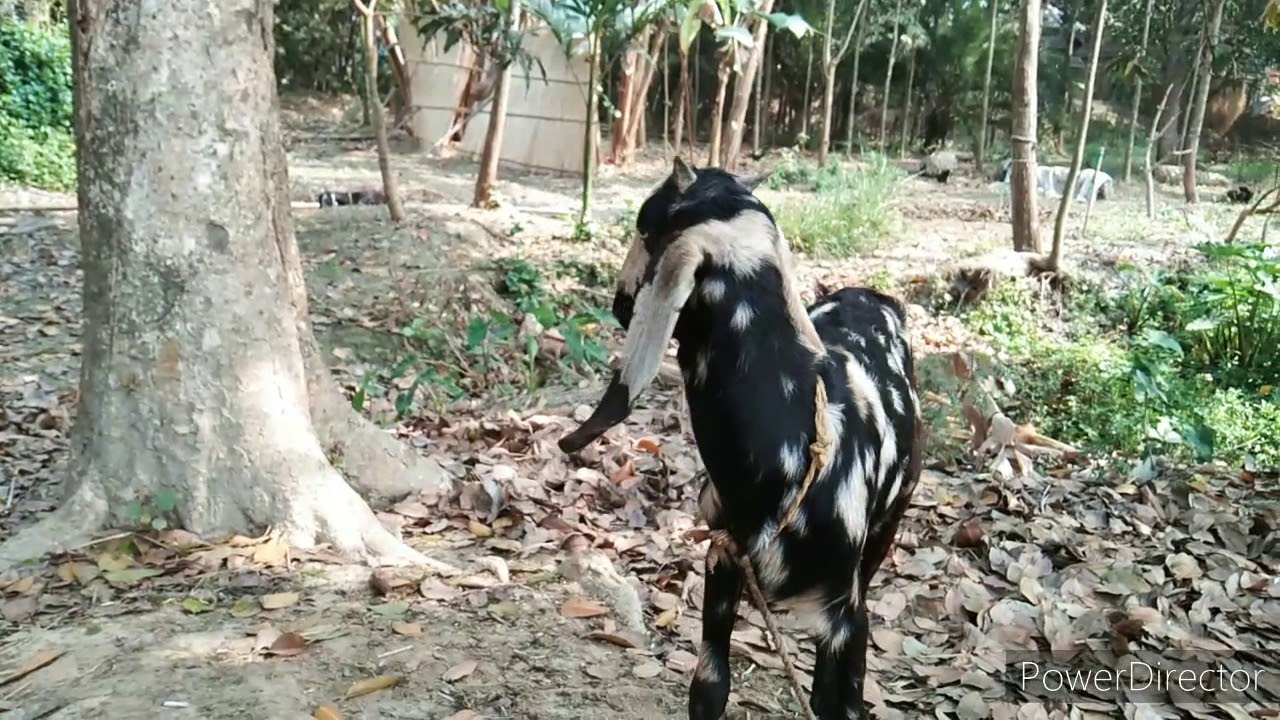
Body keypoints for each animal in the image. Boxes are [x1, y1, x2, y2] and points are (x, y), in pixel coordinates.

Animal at [558, 157, 923, 720]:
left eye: (645, 226)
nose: (619, 301)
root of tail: (876, 296)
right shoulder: (723, 564)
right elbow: (709, 687)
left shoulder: (846, 616)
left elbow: (840, 701)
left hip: (890, 522)